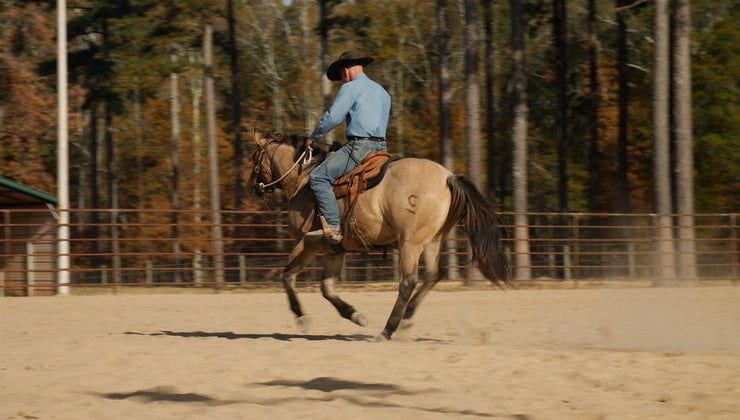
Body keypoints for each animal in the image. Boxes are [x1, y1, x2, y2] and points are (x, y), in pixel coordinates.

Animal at [247, 130, 511, 341]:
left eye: (254, 157)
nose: (252, 187)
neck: (304, 180)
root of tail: (447, 177)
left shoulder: (305, 242)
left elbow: (287, 276)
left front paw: (302, 318)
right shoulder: (334, 249)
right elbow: (326, 288)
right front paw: (355, 315)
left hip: (409, 242)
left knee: (408, 282)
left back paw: (387, 330)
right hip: (433, 239)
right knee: (434, 275)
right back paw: (406, 320)